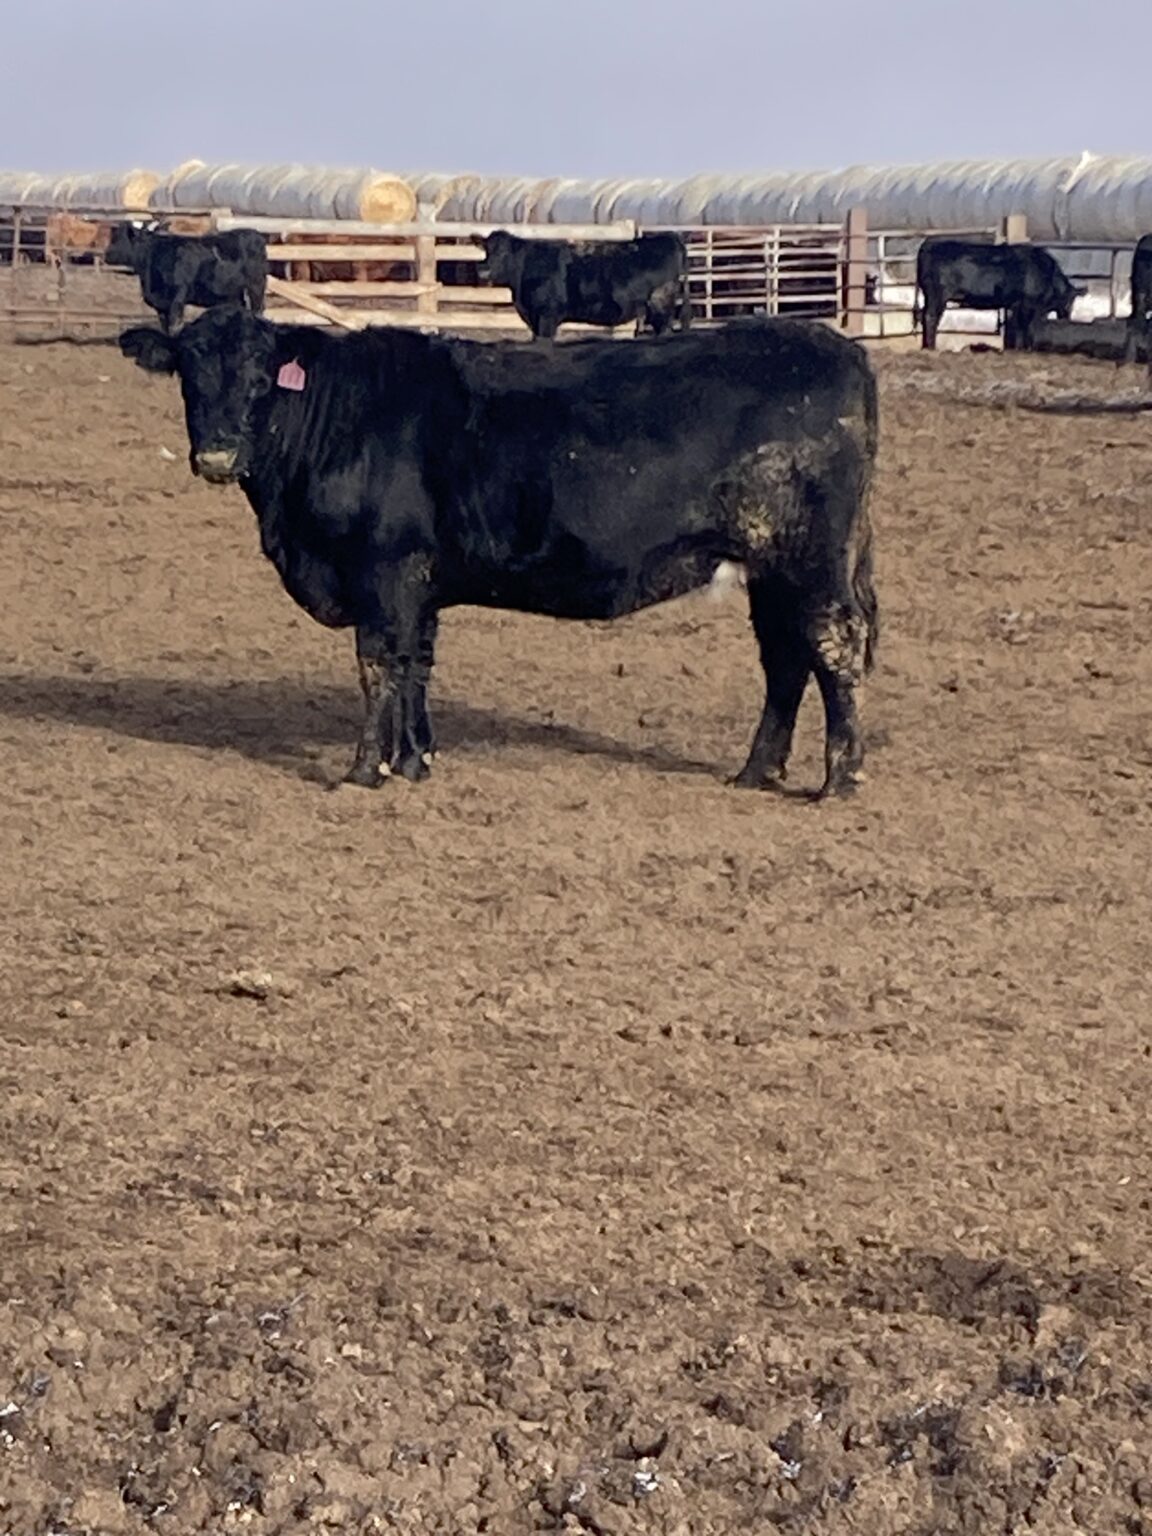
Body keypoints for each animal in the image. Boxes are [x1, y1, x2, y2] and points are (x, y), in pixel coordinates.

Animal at [105, 222, 267, 333]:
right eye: (113, 237)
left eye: (119, 239)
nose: (106, 254)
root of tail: (256, 234)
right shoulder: (160, 305)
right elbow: (165, 328)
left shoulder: (177, 297)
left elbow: (174, 327)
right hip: (234, 292)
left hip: (256, 287)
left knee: (257, 311)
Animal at [117, 306, 878, 798]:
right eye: (187, 373)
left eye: (259, 376)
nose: (218, 456)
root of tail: (834, 346)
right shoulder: (419, 582)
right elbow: (416, 666)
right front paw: (414, 760)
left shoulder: (384, 571)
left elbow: (377, 666)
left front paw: (365, 770)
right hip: (770, 568)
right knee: (784, 659)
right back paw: (756, 772)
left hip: (810, 561)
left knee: (832, 646)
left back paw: (840, 778)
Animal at [478, 230, 690, 339]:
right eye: (486, 250)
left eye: (505, 253)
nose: (483, 271)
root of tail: (670, 236)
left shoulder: (547, 315)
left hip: (660, 305)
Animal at [914, 238, 1085, 351]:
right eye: (1071, 302)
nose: (1067, 318)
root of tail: (930, 243)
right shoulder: (1028, 304)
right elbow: (1027, 326)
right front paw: (1026, 349)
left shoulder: (1017, 305)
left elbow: (1018, 326)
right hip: (937, 295)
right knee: (930, 317)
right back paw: (931, 348)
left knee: (925, 316)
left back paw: (926, 346)